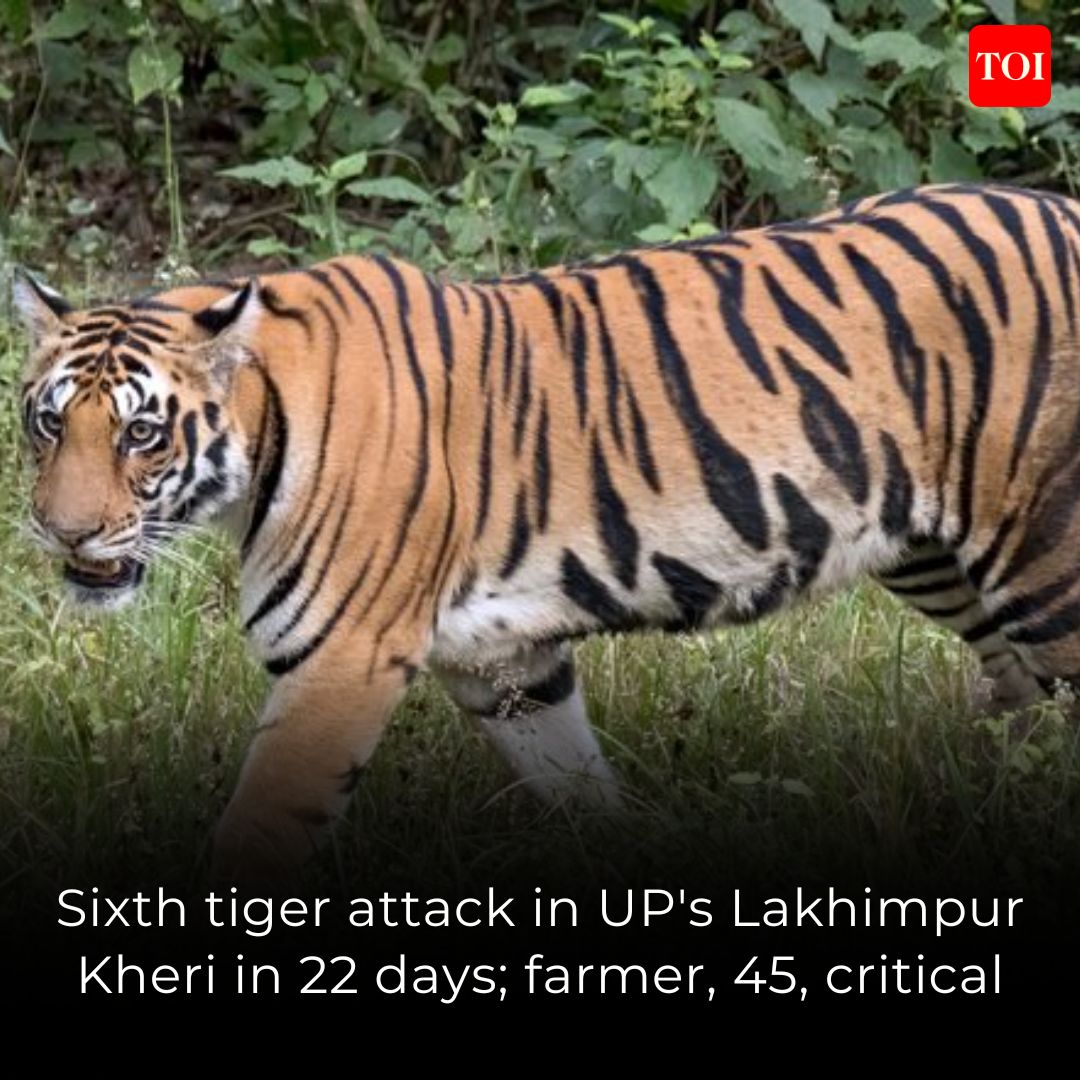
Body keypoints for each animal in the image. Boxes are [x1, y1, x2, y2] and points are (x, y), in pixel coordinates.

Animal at [12, 181, 1080, 883]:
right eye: (49, 422)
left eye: (142, 433)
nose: (63, 535)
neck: (262, 438)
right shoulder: (506, 665)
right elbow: (583, 792)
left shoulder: (339, 662)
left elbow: (257, 831)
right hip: (938, 558)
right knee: (1019, 698)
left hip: (1045, 562)